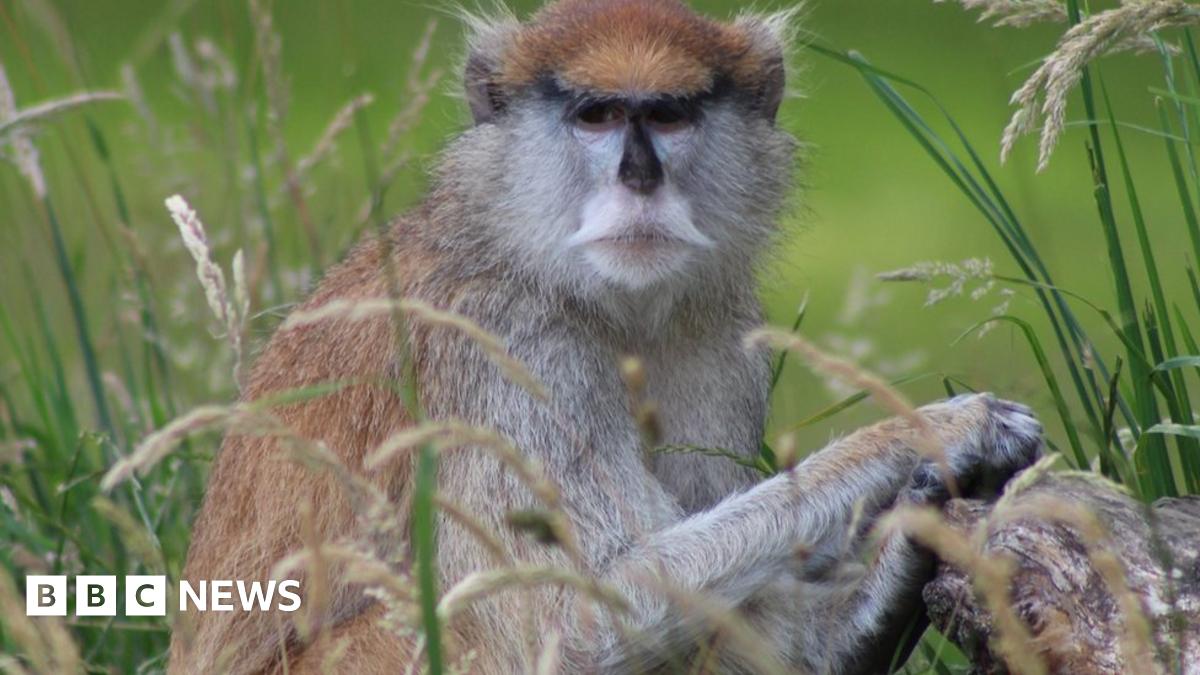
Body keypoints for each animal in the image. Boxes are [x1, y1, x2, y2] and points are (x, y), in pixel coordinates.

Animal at [169, 1, 1044, 673]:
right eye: (595, 115)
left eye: (668, 114)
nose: (639, 177)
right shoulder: (508, 352)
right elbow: (577, 617)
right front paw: (940, 426)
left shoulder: (717, 342)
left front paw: (875, 598)